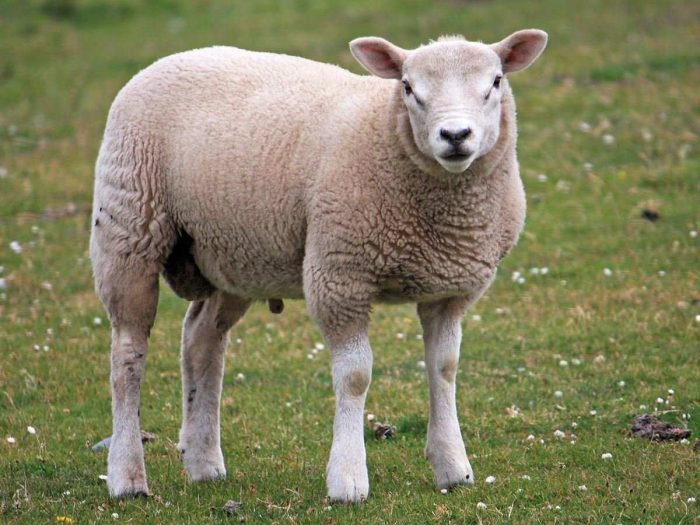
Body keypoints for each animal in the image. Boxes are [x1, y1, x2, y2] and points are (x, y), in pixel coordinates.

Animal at [90, 29, 547, 503]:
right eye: (408, 88)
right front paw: (347, 479)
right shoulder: (339, 275)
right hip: (129, 227)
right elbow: (356, 376)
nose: (455, 135)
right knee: (127, 355)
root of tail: (171, 58)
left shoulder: (450, 289)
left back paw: (204, 463)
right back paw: (127, 476)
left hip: (231, 256)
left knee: (201, 342)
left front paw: (453, 466)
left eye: (495, 82)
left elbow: (444, 368)